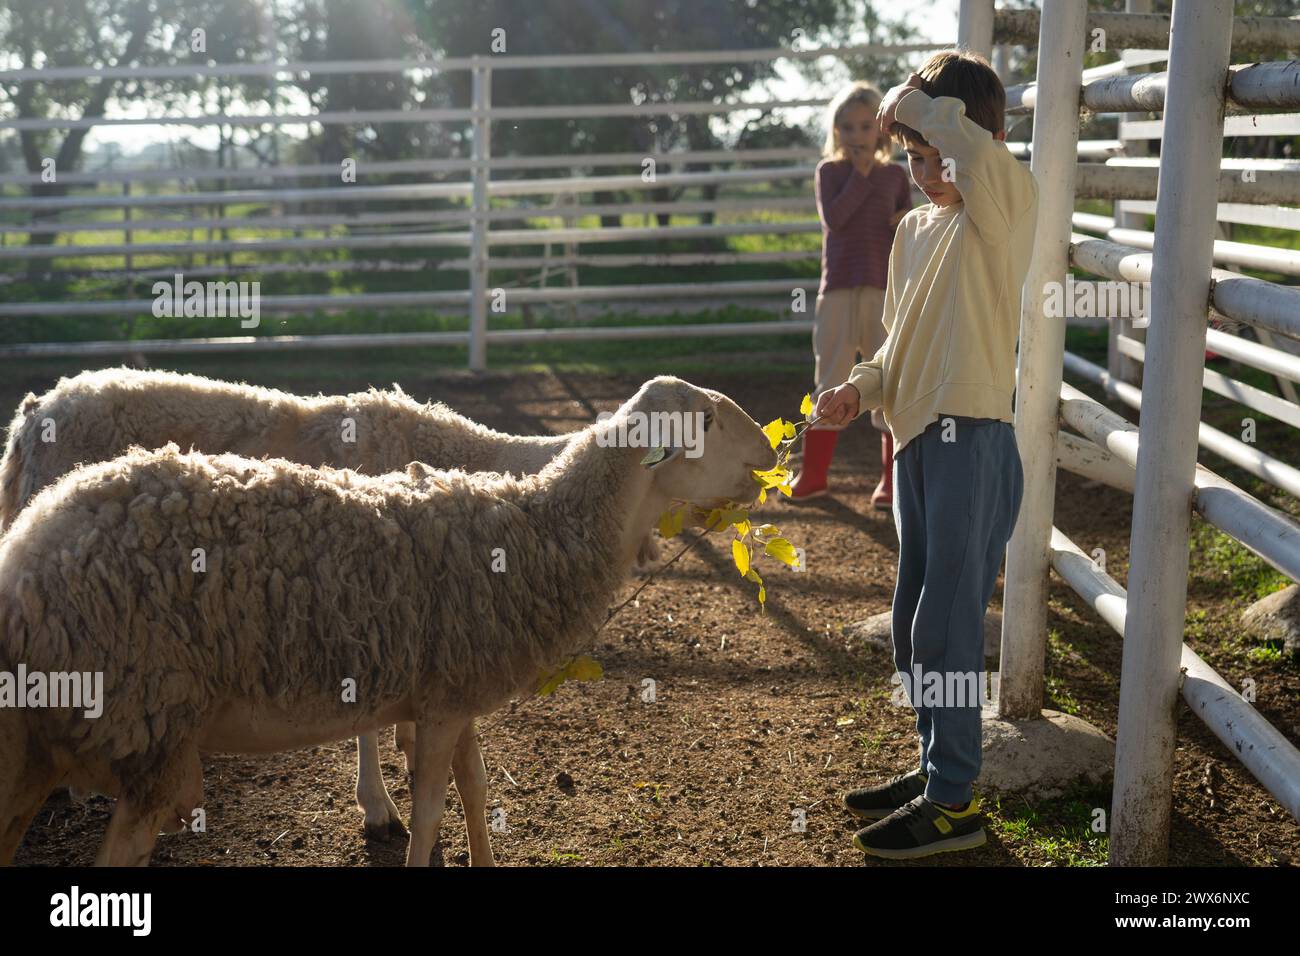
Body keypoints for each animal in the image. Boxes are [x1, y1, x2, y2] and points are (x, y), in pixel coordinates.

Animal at [0, 375, 778, 866]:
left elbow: (475, 788)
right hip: (143, 723)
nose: (772, 455)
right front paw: (383, 809)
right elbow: (424, 796)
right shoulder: (414, 667)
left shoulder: (450, 687)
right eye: (706, 422)